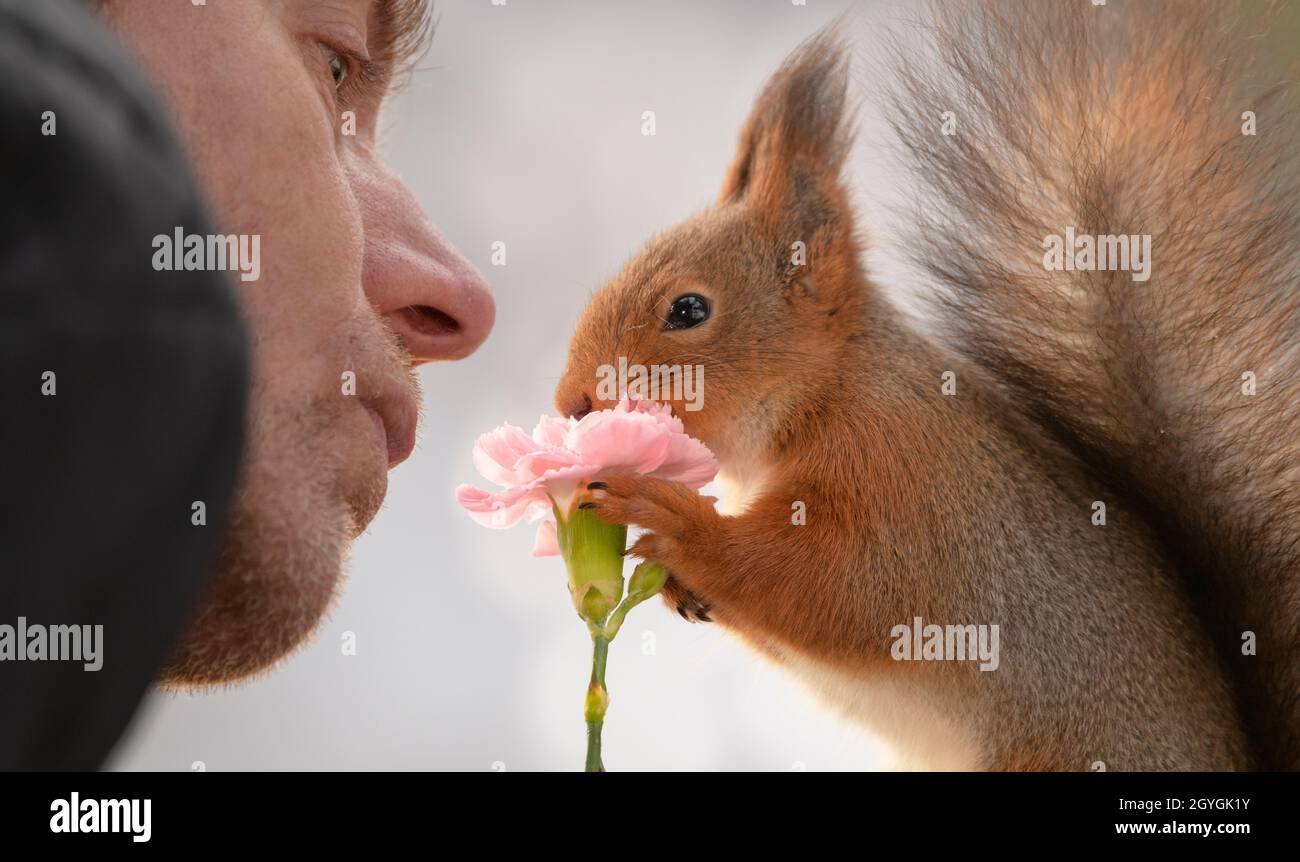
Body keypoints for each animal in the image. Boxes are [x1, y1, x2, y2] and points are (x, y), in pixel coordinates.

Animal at [555, 0, 1299, 770]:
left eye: (689, 310)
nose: (570, 403)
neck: (827, 392)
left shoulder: (910, 493)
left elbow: (840, 590)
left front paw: (677, 522)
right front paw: (680, 584)